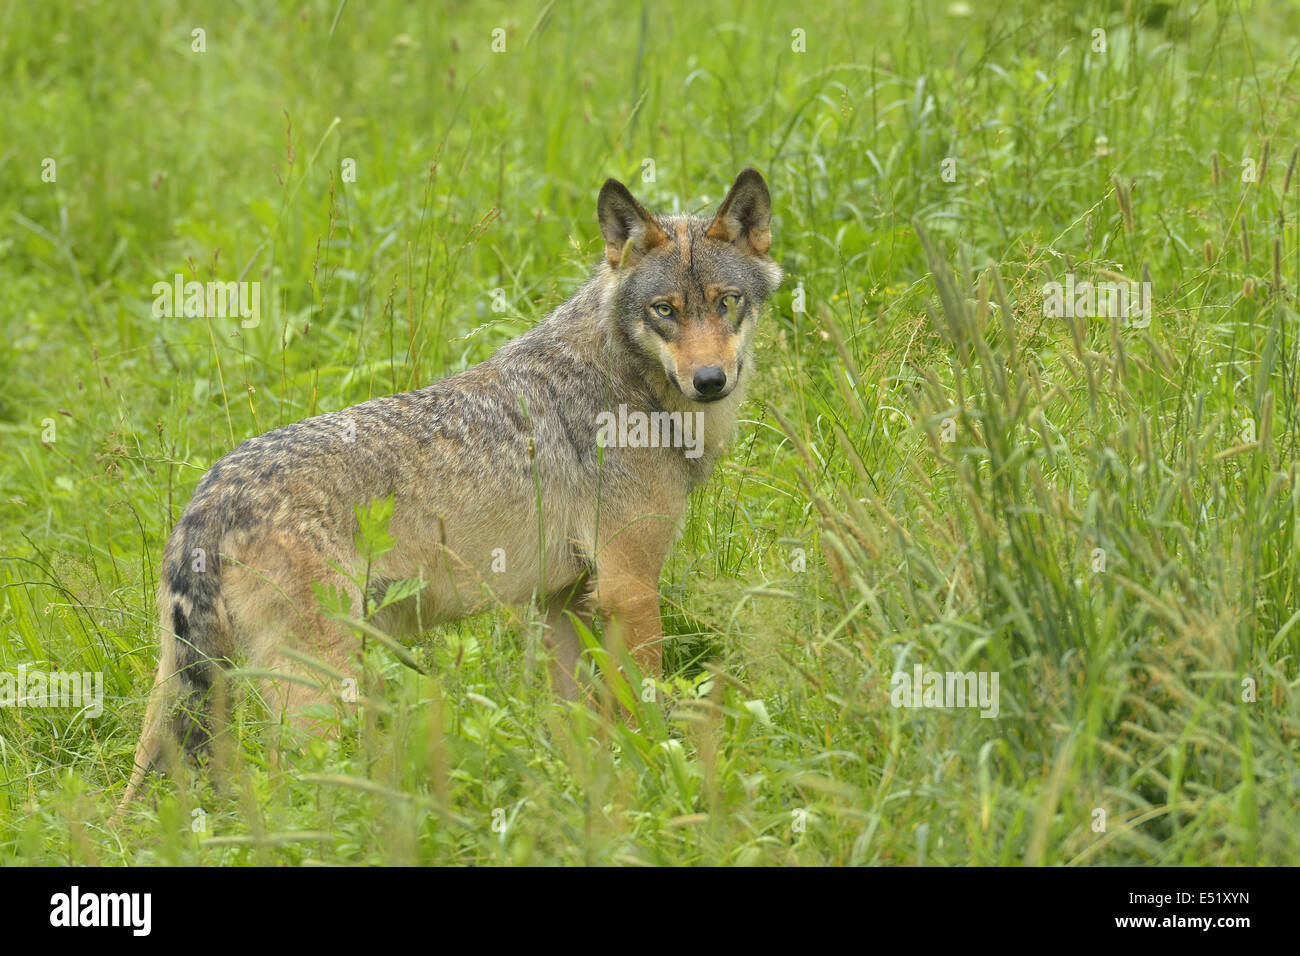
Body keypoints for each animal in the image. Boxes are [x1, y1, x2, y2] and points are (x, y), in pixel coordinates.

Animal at [117, 168, 782, 809]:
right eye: (664, 311)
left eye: (727, 303)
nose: (710, 380)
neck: (632, 389)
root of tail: (211, 499)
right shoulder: (631, 587)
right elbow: (643, 705)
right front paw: (656, 774)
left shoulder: (561, 600)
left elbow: (575, 723)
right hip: (322, 691)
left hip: (179, 695)